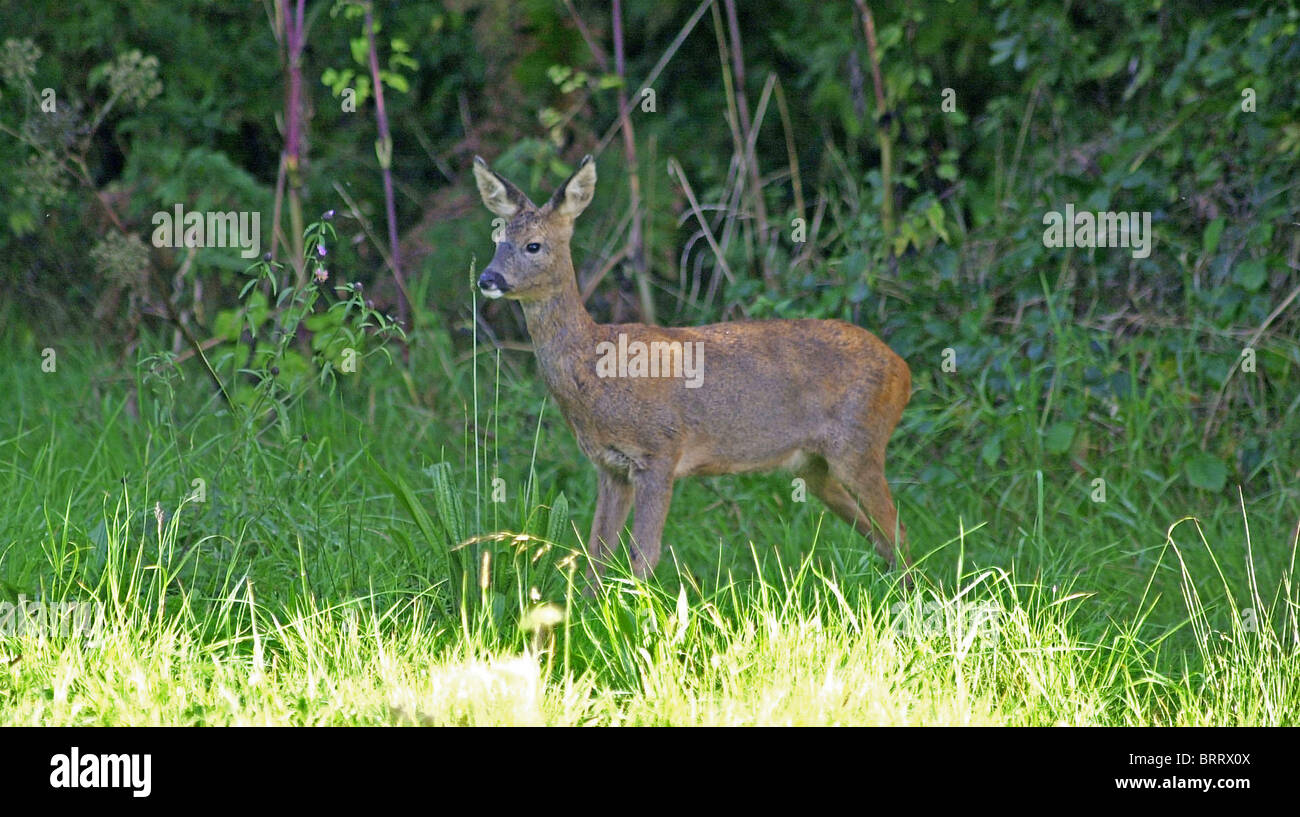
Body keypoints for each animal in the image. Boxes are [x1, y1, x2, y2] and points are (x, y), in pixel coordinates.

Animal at [472, 154, 912, 586]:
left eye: (533, 245)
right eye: (497, 240)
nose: (487, 278)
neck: (597, 369)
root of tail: (903, 369)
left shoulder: (660, 450)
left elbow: (643, 555)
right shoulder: (609, 467)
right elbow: (597, 553)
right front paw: (587, 607)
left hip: (859, 442)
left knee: (897, 529)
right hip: (815, 463)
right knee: (878, 532)